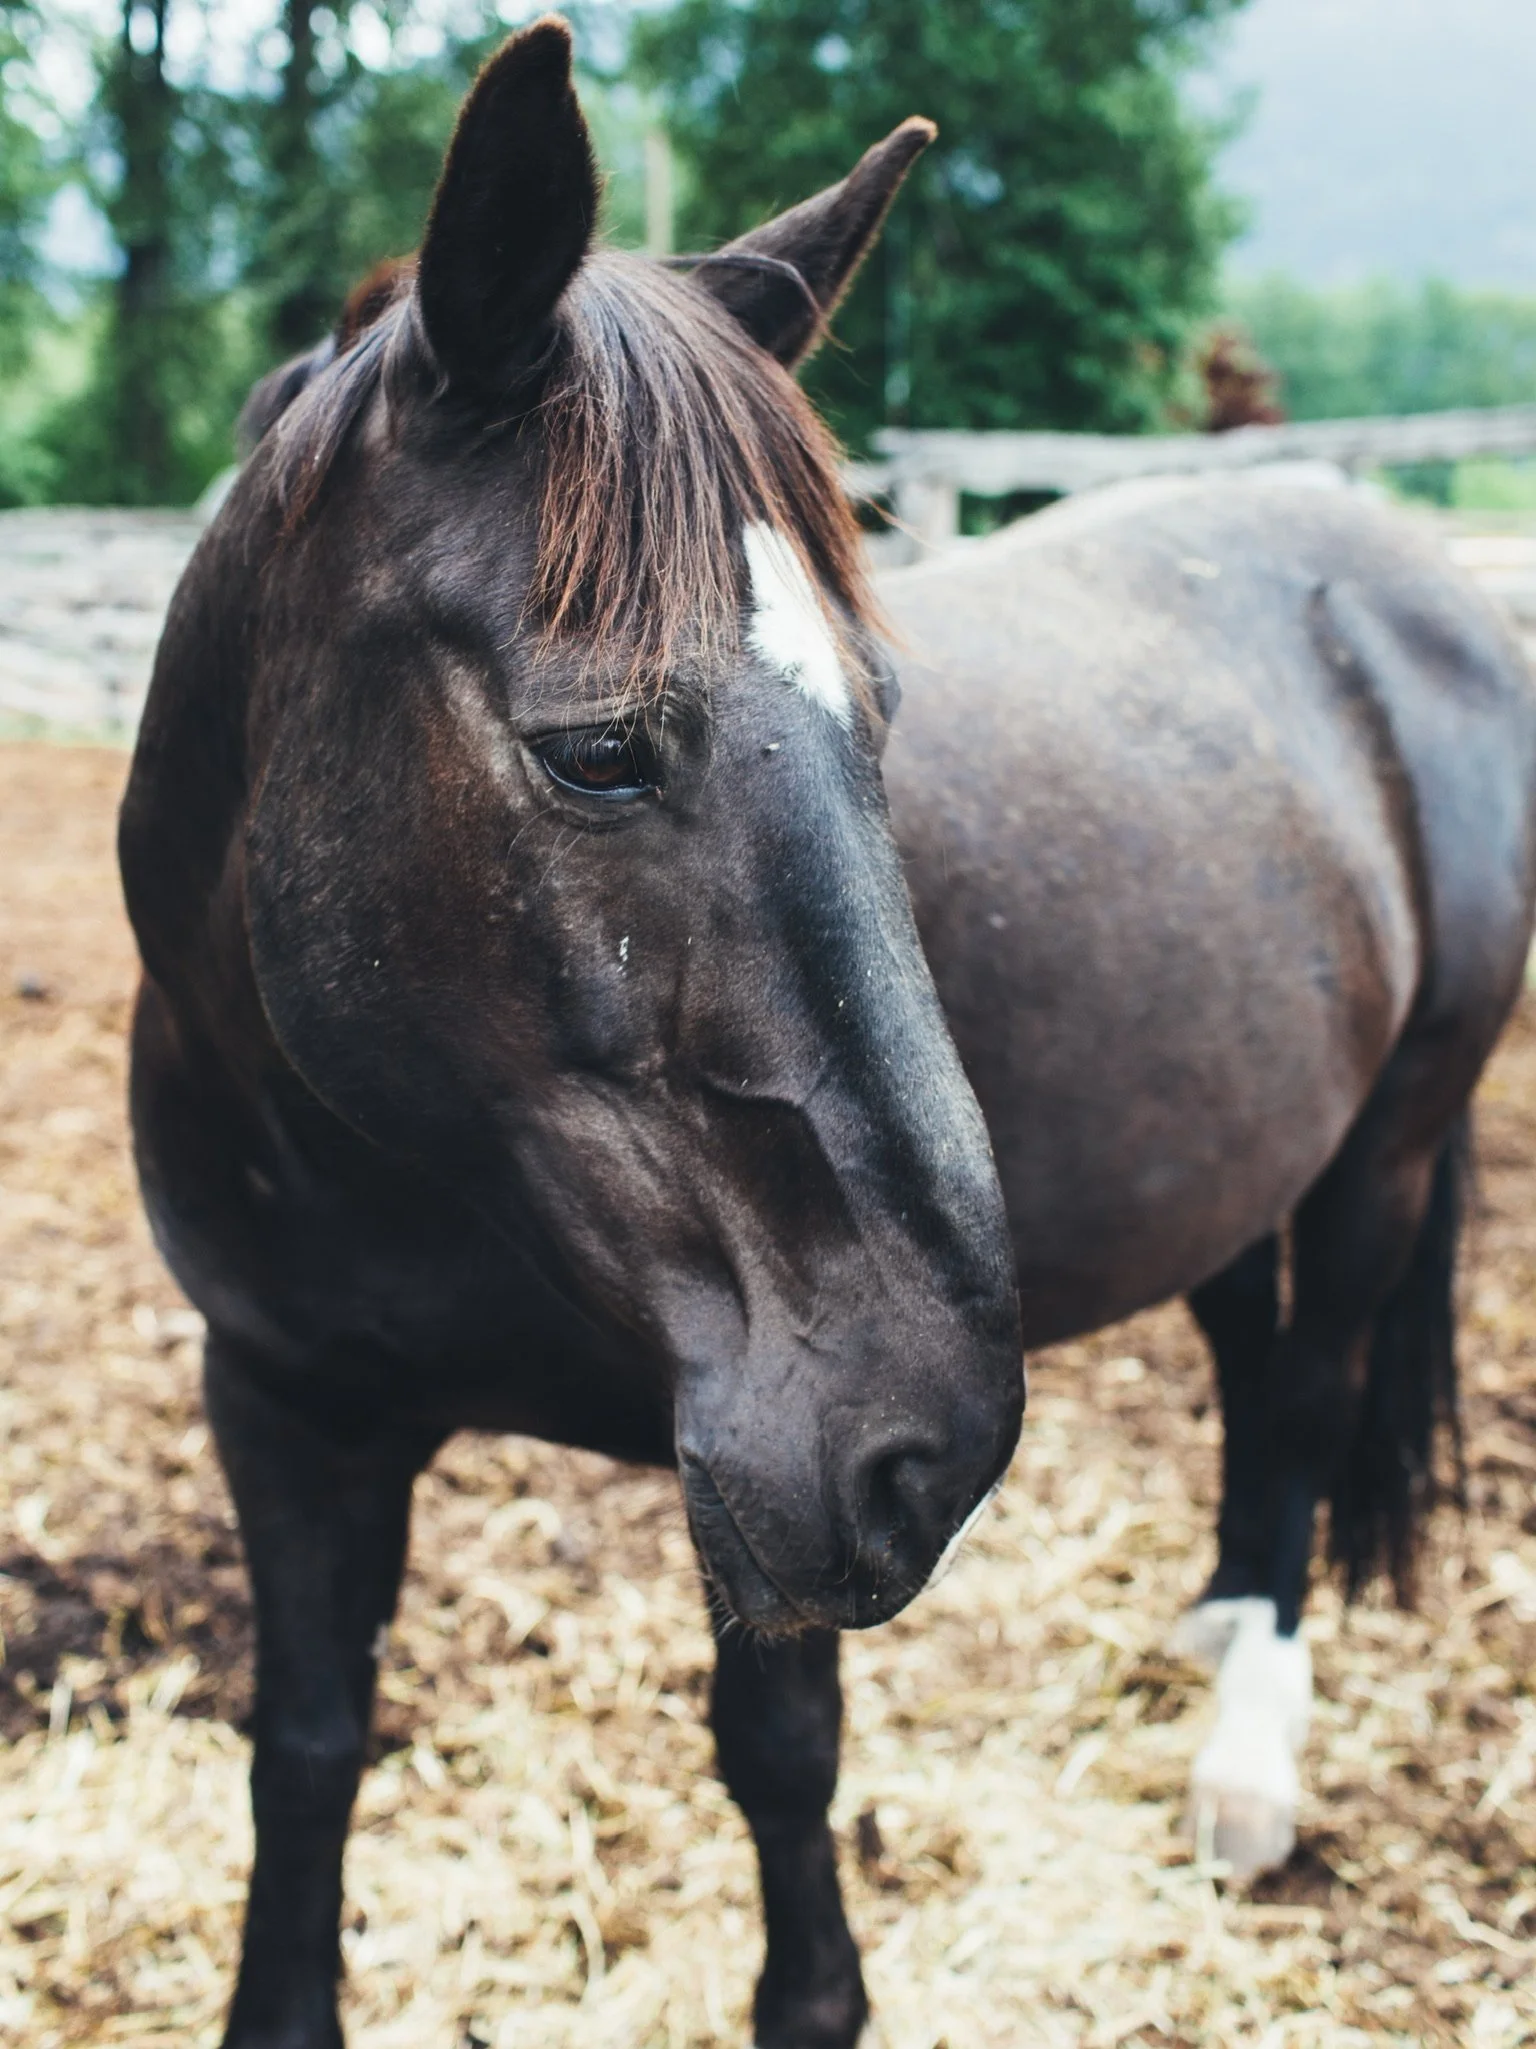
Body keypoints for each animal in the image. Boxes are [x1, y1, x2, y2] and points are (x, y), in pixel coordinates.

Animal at [118, 24, 1024, 2049]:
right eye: (598, 746)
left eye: (884, 713)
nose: (937, 1444)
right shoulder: (275, 1400)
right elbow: (304, 1754)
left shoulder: (736, 1455)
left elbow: (780, 1750)